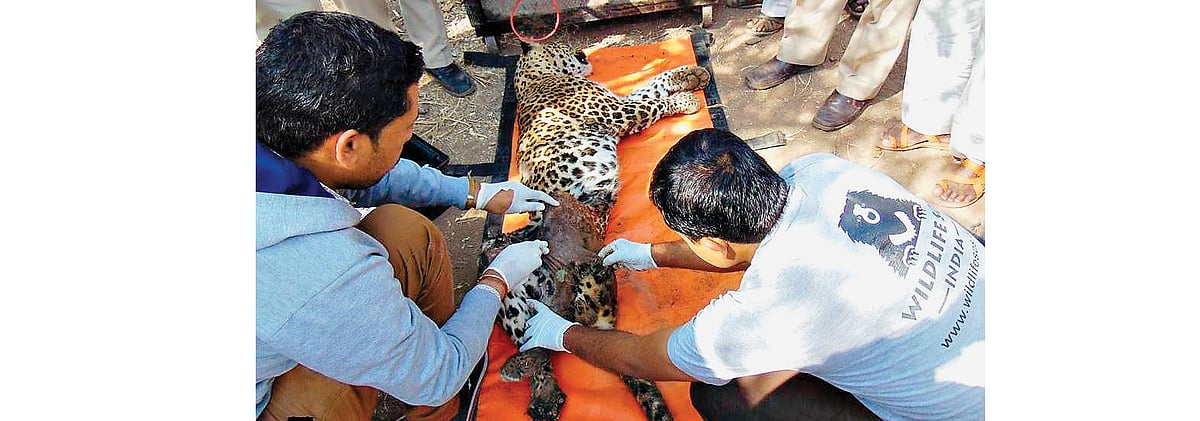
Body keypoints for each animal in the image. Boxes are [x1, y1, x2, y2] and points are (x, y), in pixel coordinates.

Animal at [481, 42, 711, 421]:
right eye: (563, 43)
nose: (582, 52)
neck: (535, 78)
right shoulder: (621, 113)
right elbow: (653, 101)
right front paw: (686, 100)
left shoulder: (620, 104)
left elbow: (653, 84)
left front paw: (689, 75)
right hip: (506, 281)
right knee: (547, 338)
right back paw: (540, 389)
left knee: (556, 335)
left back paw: (544, 393)